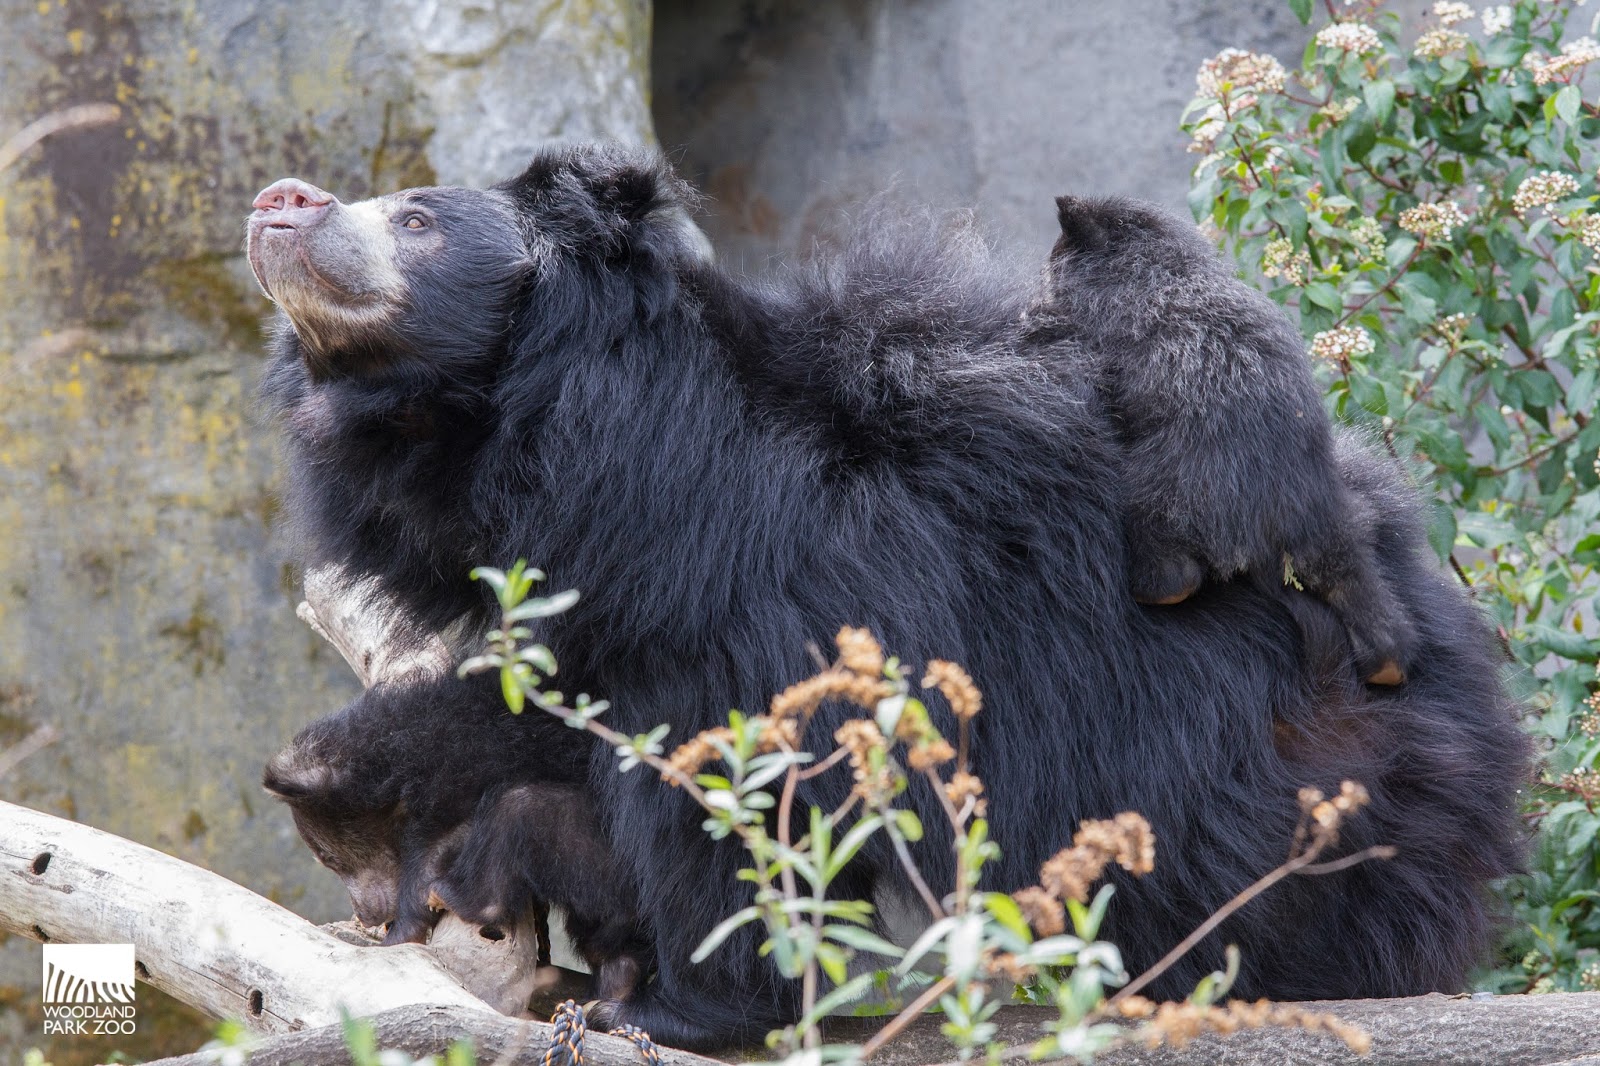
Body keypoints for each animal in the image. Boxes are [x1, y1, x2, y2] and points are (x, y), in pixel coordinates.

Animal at [263, 672, 650, 1001]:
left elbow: (436, 847)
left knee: (517, 812)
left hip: (600, 850)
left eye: (327, 859)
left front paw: (400, 934)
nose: (366, 915)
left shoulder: (463, 774)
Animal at [1024, 194, 1416, 686]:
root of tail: (1280, 516)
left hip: (1168, 491)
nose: (1037, 291)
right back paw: (1387, 662)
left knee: (1169, 561)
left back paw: (1156, 591)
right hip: (1335, 519)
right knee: (1358, 578)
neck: (1155, 264)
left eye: (1051, 265)